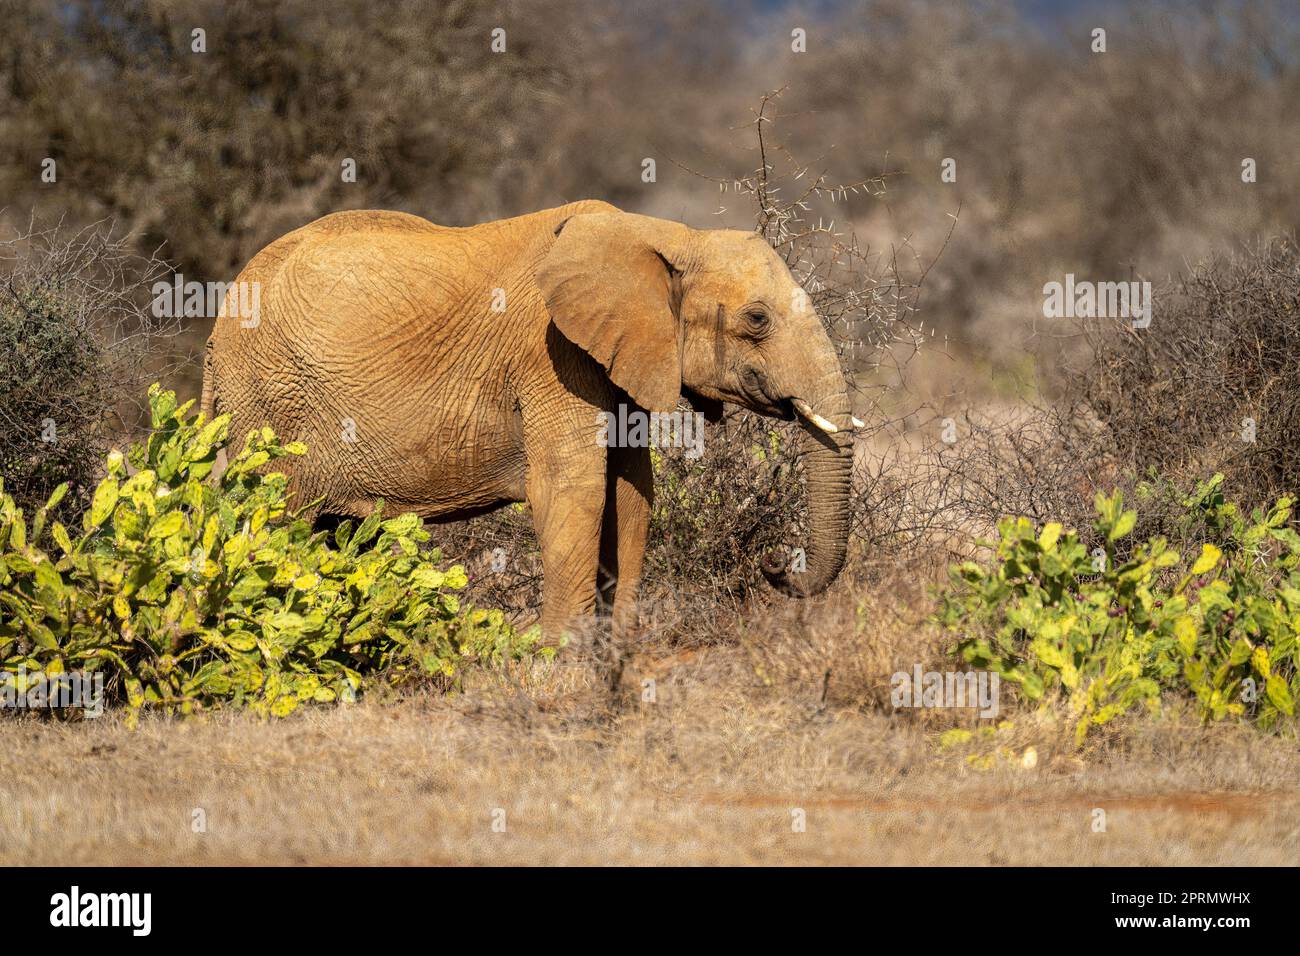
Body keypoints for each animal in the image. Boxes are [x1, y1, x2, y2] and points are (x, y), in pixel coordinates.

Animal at [201, 200, 858, 640]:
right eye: (757, 319)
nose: (775, 563)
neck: (662, 234)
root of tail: (216, 327)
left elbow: (632, 494)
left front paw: (615, 654)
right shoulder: (552, 357)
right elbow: (573, 491)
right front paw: (559, 662)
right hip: (271, 404)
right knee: (279, 521)